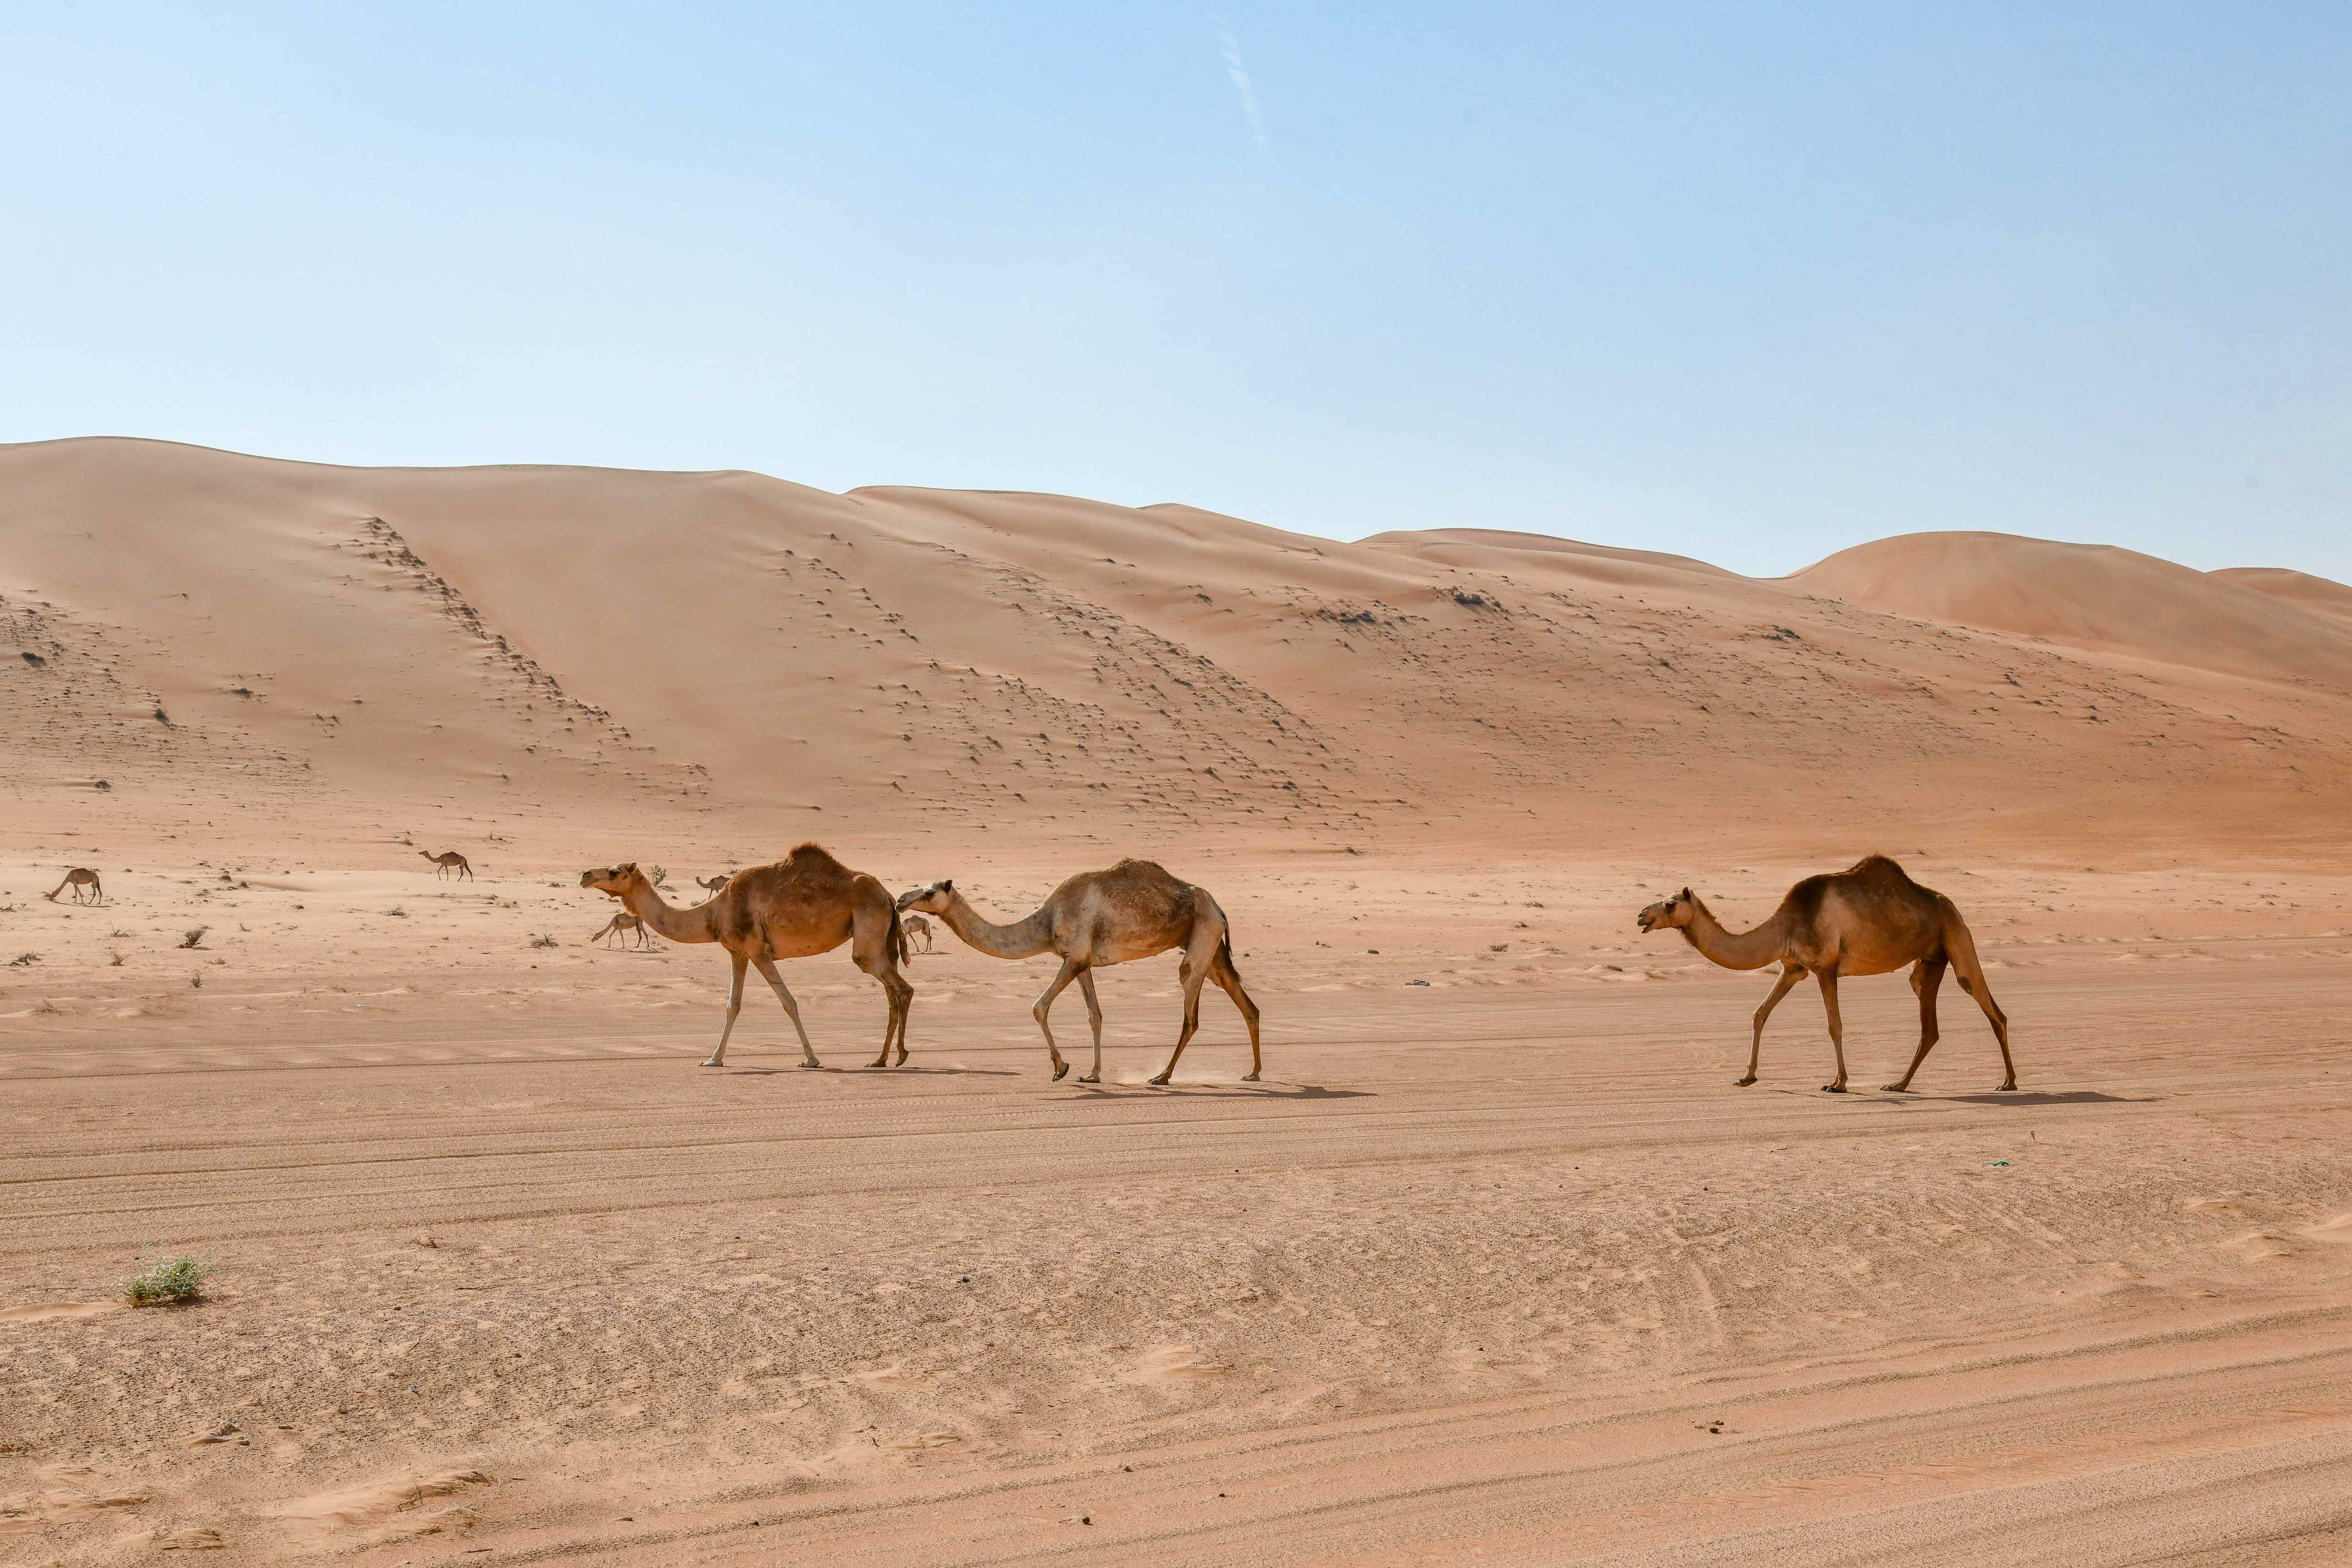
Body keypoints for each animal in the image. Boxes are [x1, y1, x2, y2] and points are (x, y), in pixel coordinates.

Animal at [44, 868, 102, 904]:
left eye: (52, 894)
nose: (50, 899)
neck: (69, 878)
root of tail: (97, 876)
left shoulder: (75, 882)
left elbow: (79, 892)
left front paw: (82, 902)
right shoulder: (74, 883)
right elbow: (76, 892)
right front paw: (75, 901)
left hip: (94, 882)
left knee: (95, 893)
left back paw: (90, 903)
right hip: (96, 883)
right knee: (100, 892)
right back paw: (99, 903)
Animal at [420, 850, 473, 881]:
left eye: (423, 852)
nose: (419, 853)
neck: (440, 859)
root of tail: (465, 859)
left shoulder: (444, 864)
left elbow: (442, 871)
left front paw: (445, 879)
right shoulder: (445, 865)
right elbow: (444, 872)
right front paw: (444, 879)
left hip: (462, 863)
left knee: (462, 873)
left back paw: (458, 880)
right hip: (464, 864)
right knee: (470, 871)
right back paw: (472, 881)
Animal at [591, 911, 652, 950]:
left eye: (594, 937)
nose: (592, 940)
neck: (614, 921)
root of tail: (641, 918)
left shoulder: (620, 928)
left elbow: (622, 937)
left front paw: (623, 947)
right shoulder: (616, 928)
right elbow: (610, 935)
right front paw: (609, 946)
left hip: (640, 923)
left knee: (646, 934)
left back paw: (648, 946)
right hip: (637, 926)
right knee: (640, 936)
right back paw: (637, 946)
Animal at [896, 860, 1260, 1085]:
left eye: (930, 892)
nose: (900, 900)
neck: (1046, 922)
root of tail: (1220, 909)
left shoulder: (1072, 959)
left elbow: (1039, 1006)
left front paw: (1062, 1068)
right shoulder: (1083, 963)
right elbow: (1095, 1015)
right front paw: (1092, 1074)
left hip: (1202, 939)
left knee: (1191, 1011)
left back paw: (1163, 1077)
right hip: (1212, 949)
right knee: (1247, 1005)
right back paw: (1254, 1073)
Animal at [1636, 855, 2015, 1094]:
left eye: (1670, 903)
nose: (1642, 915)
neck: (1784, 926)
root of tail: (1949, 904)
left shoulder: (1825, 968)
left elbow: (1835, 1025)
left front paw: (1838, 1083)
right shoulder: (1794, 968)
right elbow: (1760, 1013)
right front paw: (1746, 1077)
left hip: (1956, 934)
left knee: (1989, 1005)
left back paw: (2009, 1082)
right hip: (1930, 961)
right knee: (1929, 1025)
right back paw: (1898, 1084)